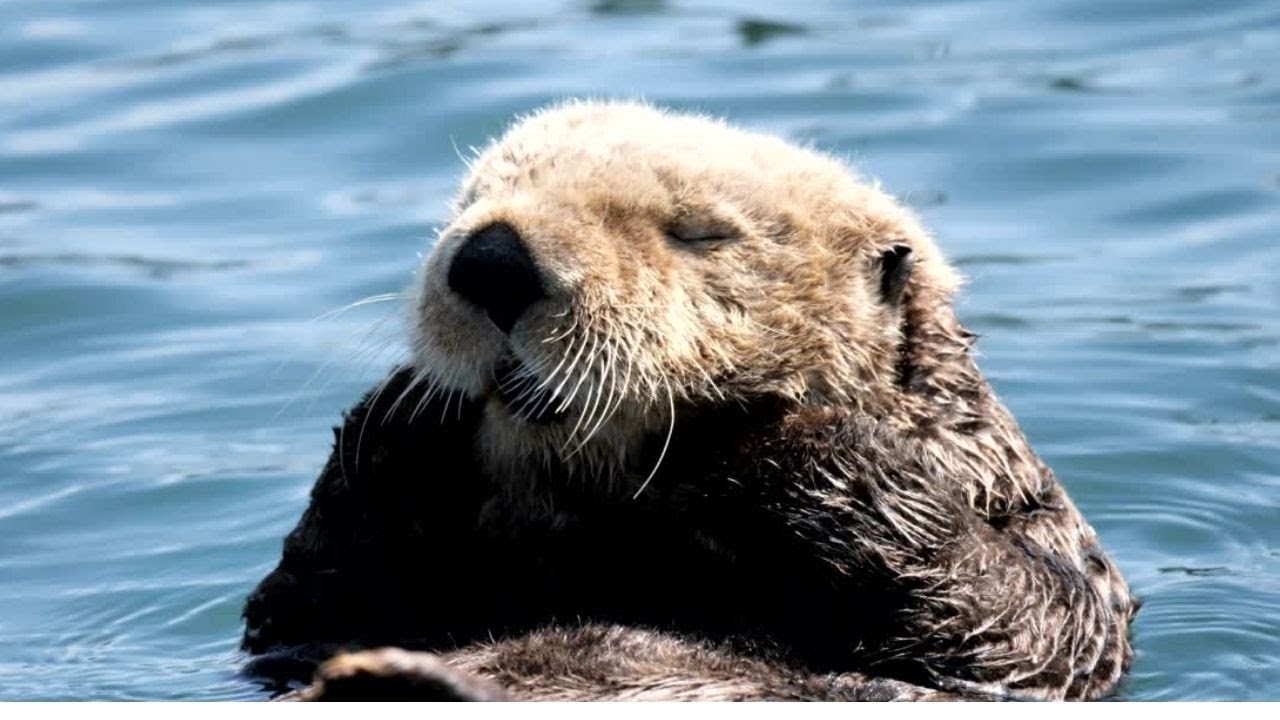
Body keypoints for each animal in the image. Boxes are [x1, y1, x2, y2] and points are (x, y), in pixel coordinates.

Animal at [242, 101, 1137, 701]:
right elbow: (296, 614)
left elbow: (1027, 616)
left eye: (700, 232)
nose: (492, 258)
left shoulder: (1019, 529)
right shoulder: (300, 631)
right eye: (469, 201)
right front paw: (407, 420)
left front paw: (778, 439)